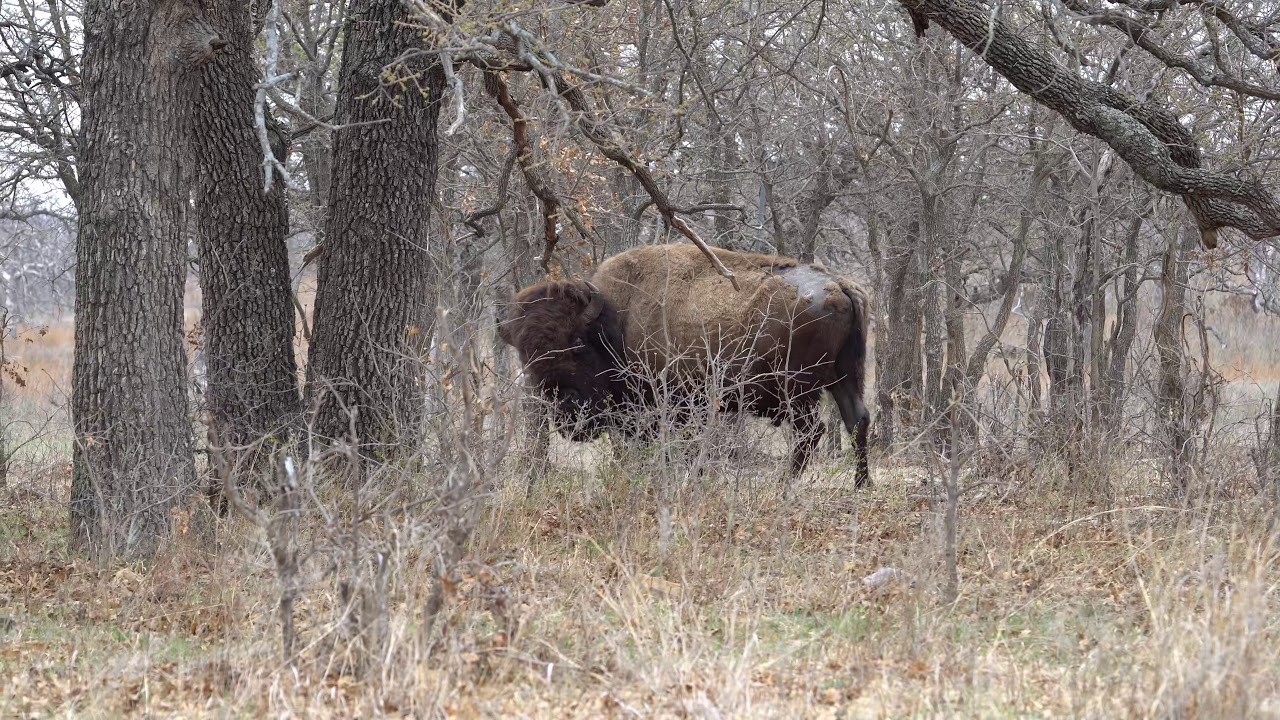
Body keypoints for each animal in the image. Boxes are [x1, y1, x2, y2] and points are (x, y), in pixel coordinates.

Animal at [498, 243, 872, 487]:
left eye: (576, 343)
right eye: (526, 356)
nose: (567, 415)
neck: (617, 319)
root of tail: (839, 285)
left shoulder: (673, 406)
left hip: (797, 390)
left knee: (811, 432)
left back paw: (783, 486)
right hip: (844, 375)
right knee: (858, 420)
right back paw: (861, 485)